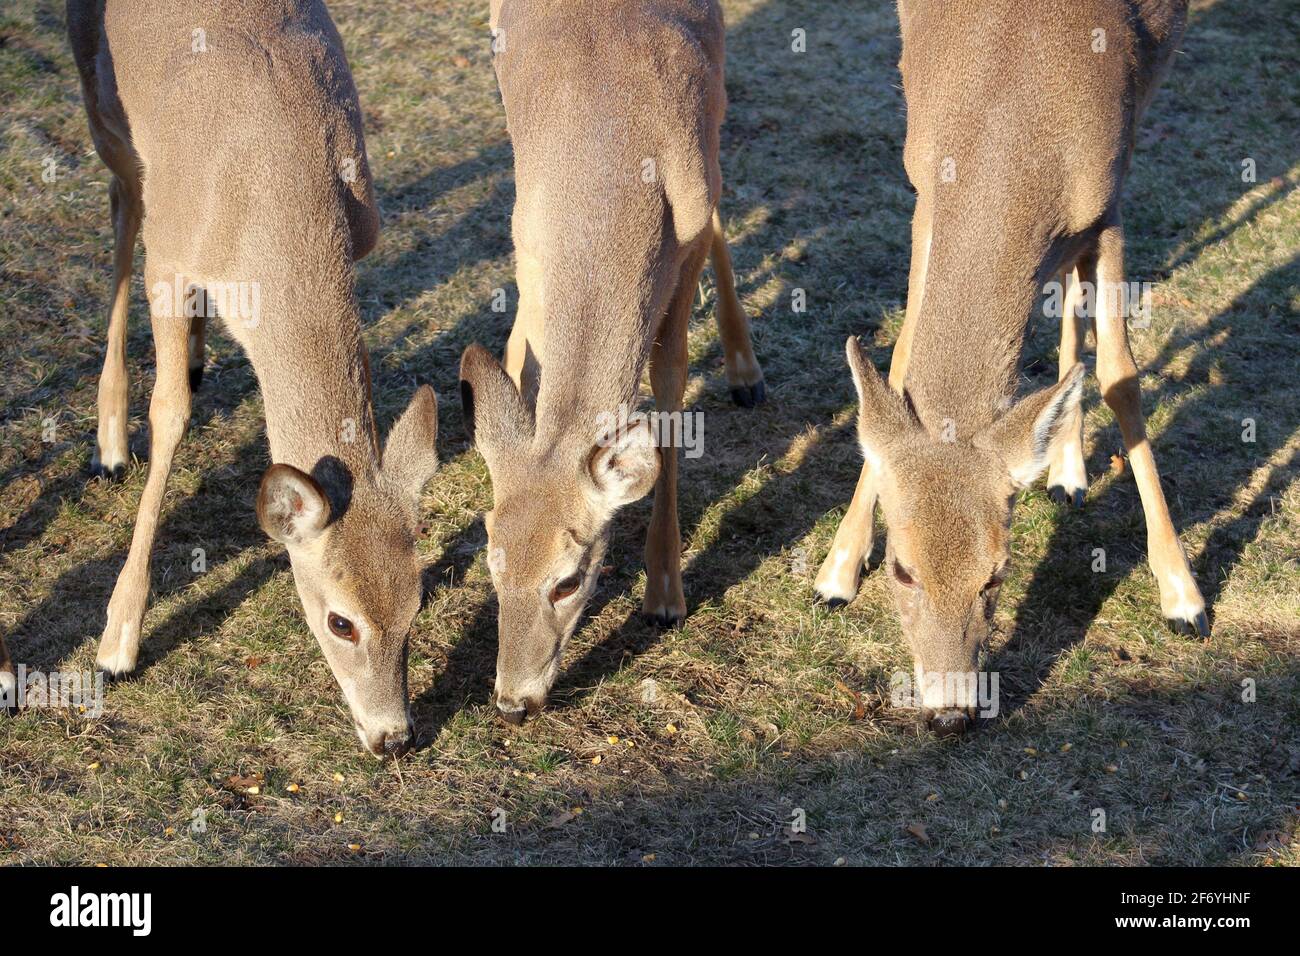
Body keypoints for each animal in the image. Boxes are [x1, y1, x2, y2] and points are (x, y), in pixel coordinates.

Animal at [60, 0, 439, 756]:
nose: (394, 737)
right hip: (104, 104)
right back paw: (110, 441)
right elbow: (170, 413)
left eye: (417, 603)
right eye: (340, 621)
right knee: (122, 200)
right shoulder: (171, 257)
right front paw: (117, 641)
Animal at [458, 0, 765, 724]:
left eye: (569, 581)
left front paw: (665, 592)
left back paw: (745, 371)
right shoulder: (525, 242)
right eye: (492, 562)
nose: (512, 702)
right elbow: (519, 363)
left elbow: (671, 388)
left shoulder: (688, 231)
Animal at [813, 0, 1207, 734]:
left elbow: (1121, 377)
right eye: (902, 569)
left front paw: (1184, 595)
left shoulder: (1108, 206)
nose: (951, 713)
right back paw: (1065, 466)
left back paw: (1069, 469)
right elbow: (899, 360)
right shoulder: (925, 193)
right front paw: (836, 570)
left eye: (997, 574)